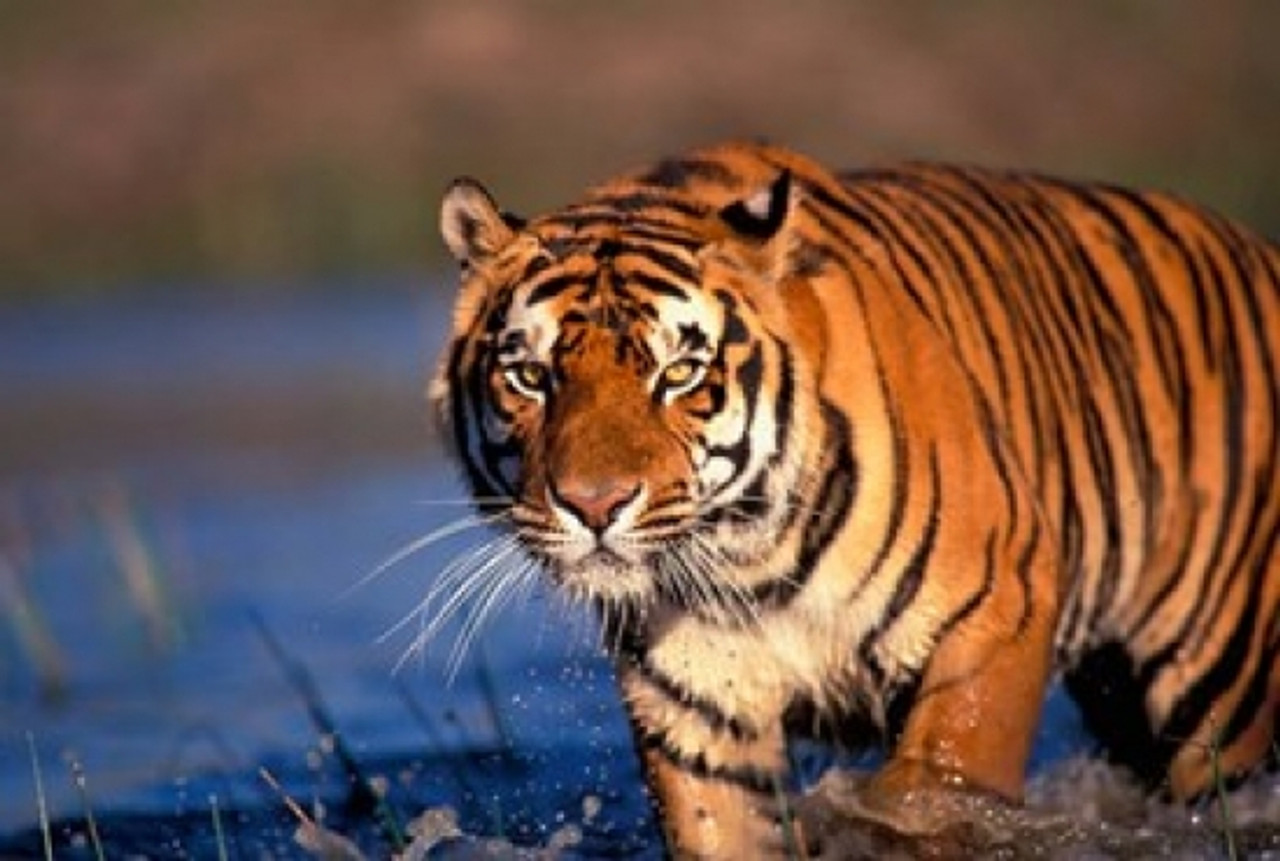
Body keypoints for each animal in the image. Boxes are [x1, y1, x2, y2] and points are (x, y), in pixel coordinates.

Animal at [429, 140, 1280, 858]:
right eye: (530, 376)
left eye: (678, 374)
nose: (595, 505)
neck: (749, 560)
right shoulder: (695, 699)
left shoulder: (997, 609)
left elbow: (933, 789)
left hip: (1219, 688)